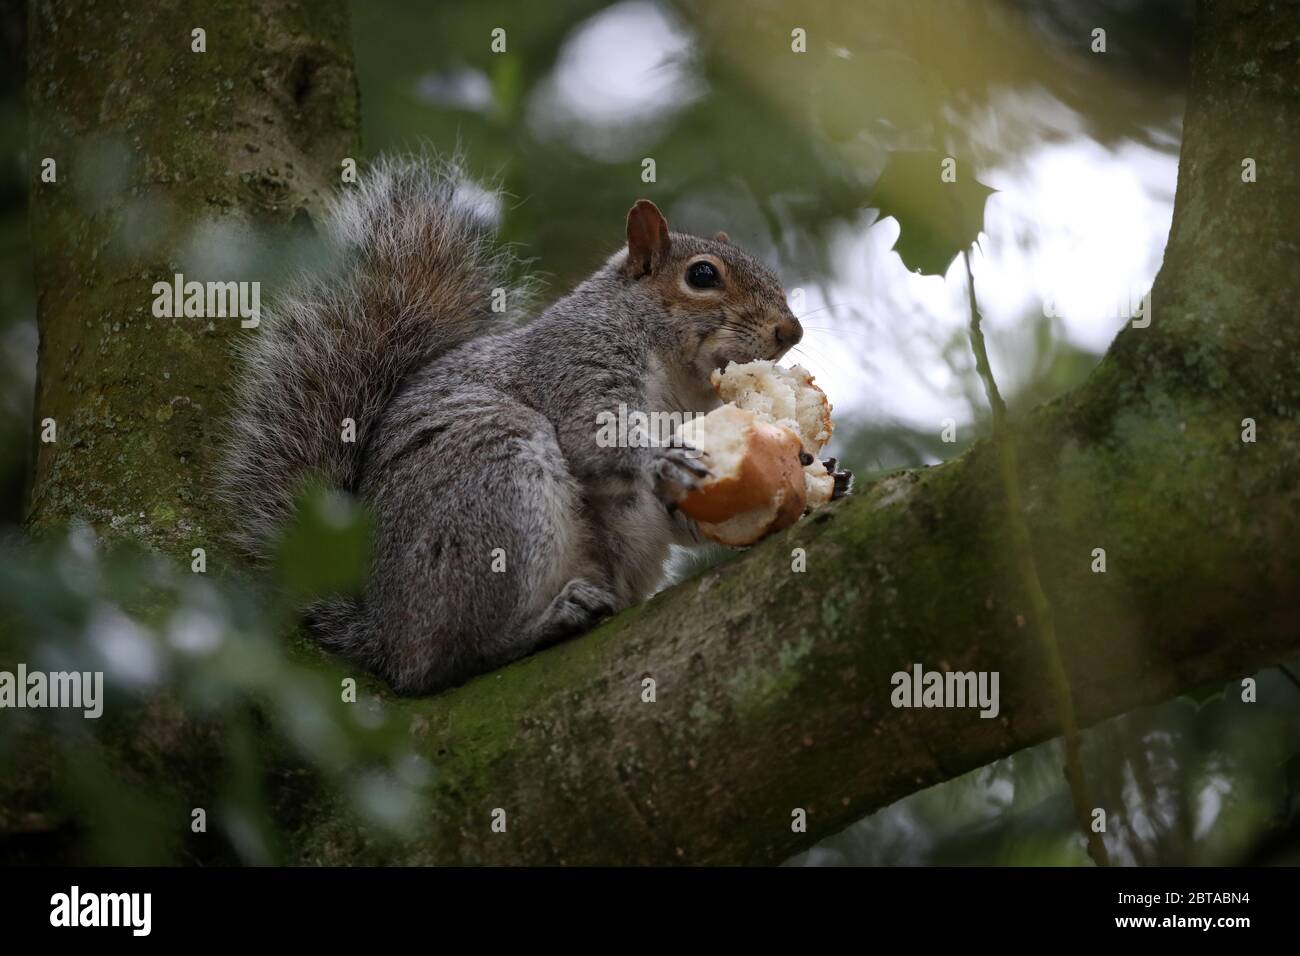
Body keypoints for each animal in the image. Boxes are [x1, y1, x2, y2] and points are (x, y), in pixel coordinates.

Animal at [220, 154, 849, 695]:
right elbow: (593, 436)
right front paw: (662, 457)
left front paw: (824, 475)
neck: (678, 378)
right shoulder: (576, 363)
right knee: (446, 662)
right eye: (701, 275)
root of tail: (382, 631)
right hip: (493, 482)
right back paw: (544, 623)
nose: (790, 331)